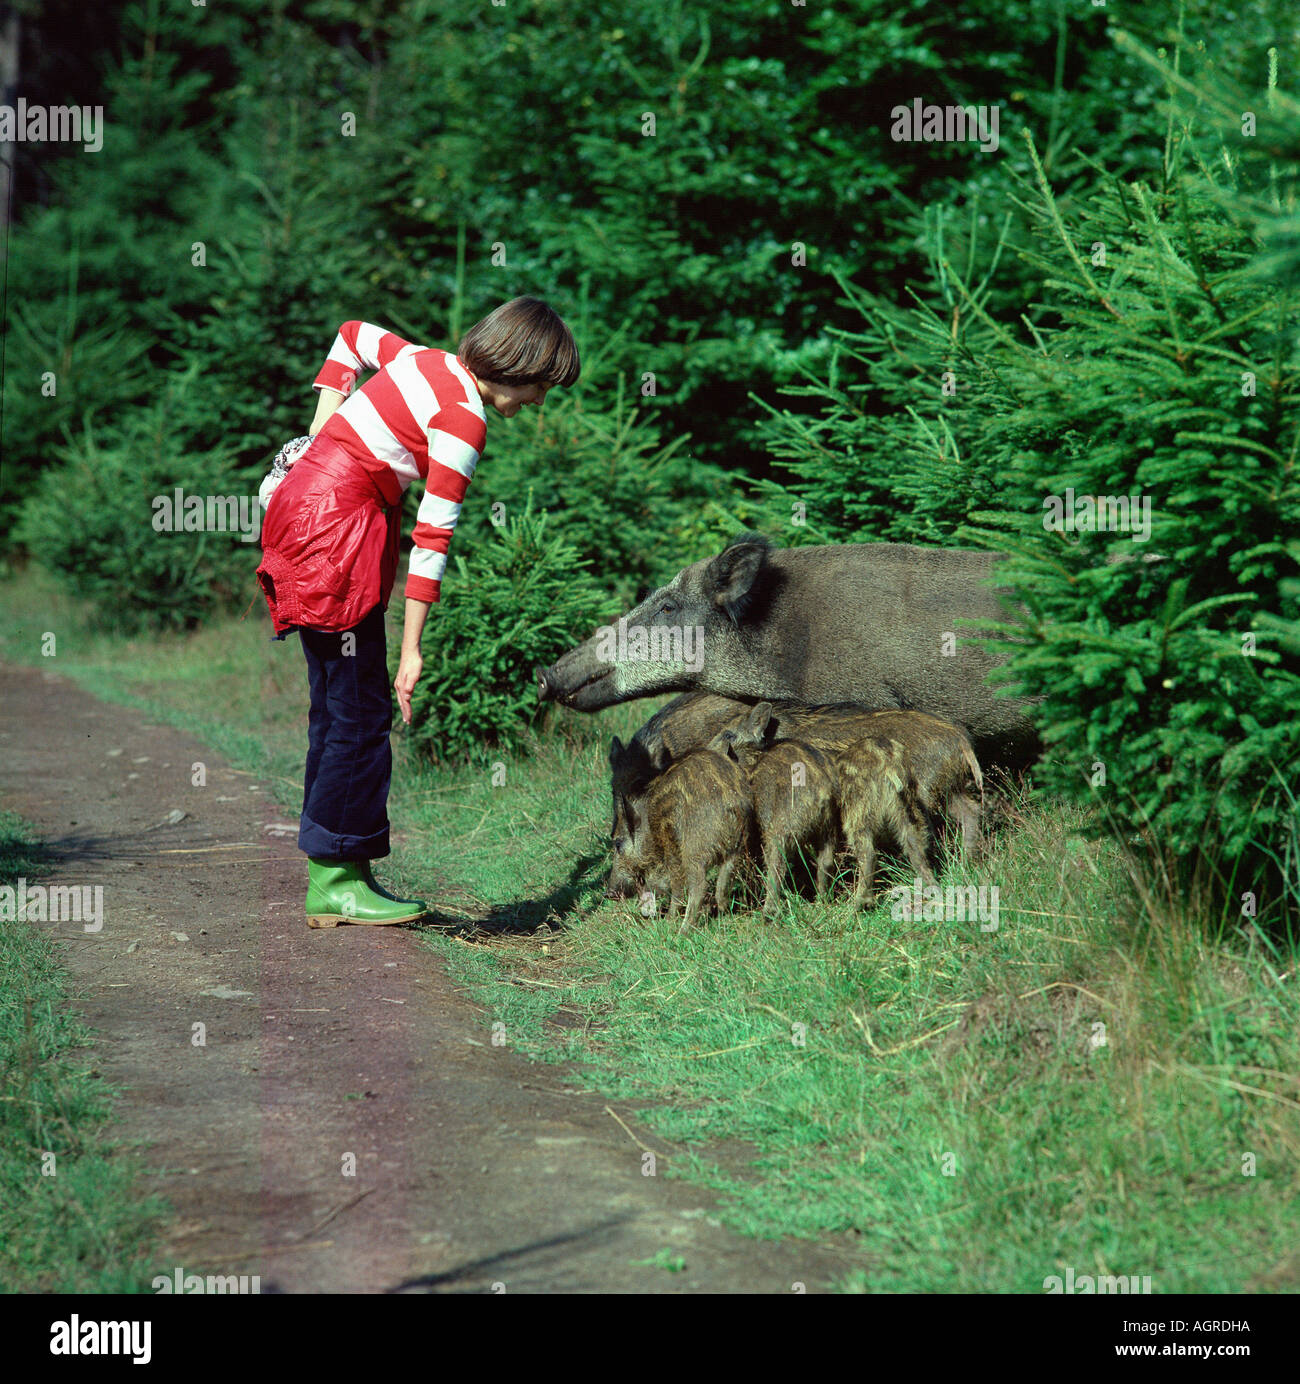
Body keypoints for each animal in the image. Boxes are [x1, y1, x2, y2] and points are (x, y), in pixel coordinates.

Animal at [606, 745, 751, 931]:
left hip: (693, 848)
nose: (608, 893)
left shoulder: (671, 846)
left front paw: (668, 921)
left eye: (617, 843)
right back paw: (723, 910)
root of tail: (731, 803)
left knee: (699, 885)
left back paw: (683, 930)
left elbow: (676, 884)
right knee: (723, 881)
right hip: (737, 845)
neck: (649, 827)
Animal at [709, 704, 839, 917]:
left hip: (781, 830)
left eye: (729, 735)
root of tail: (823, 791)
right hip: (829, 829)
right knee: (826, 862)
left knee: (777, 867)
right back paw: (822, 902)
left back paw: (768, 912)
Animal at [834, 735, 936, 909]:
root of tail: (888, 762)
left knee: (867, 852)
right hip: (906, 803)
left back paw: (860, 904)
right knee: (915, 845)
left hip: (860, 806)